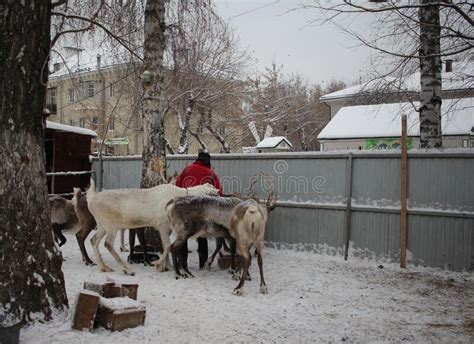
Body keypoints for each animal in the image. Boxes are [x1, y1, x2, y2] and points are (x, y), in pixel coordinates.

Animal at [86, 179, 219, 276]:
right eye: (215, 194)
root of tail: (91, 199)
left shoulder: (166, 229)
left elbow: (166, 246)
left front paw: (168, 266)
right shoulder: (163, 226)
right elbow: (167, 246)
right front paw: (159, 265)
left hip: (102, 226)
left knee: (93, 240)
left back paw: (104, 267)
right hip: (111, 225)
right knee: (108, 244)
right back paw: (128, 269)